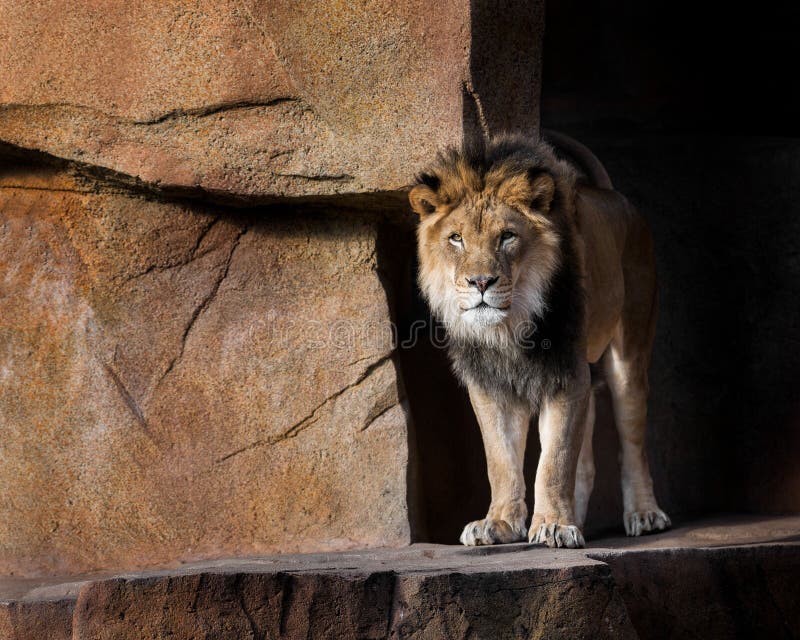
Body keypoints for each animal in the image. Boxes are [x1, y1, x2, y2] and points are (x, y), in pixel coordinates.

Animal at [408, 131, 670, 548]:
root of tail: (613, 196)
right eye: (456, 239)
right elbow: (501, 460)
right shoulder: (490, 384)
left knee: (632, 443)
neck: (508, 326)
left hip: (628, 355)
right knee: (586, 462)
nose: (480, 282)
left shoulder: (566, 373)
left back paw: (644, 514)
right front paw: (499, 523)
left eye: (507, 237)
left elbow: (554, 460)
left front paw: (554, 525)